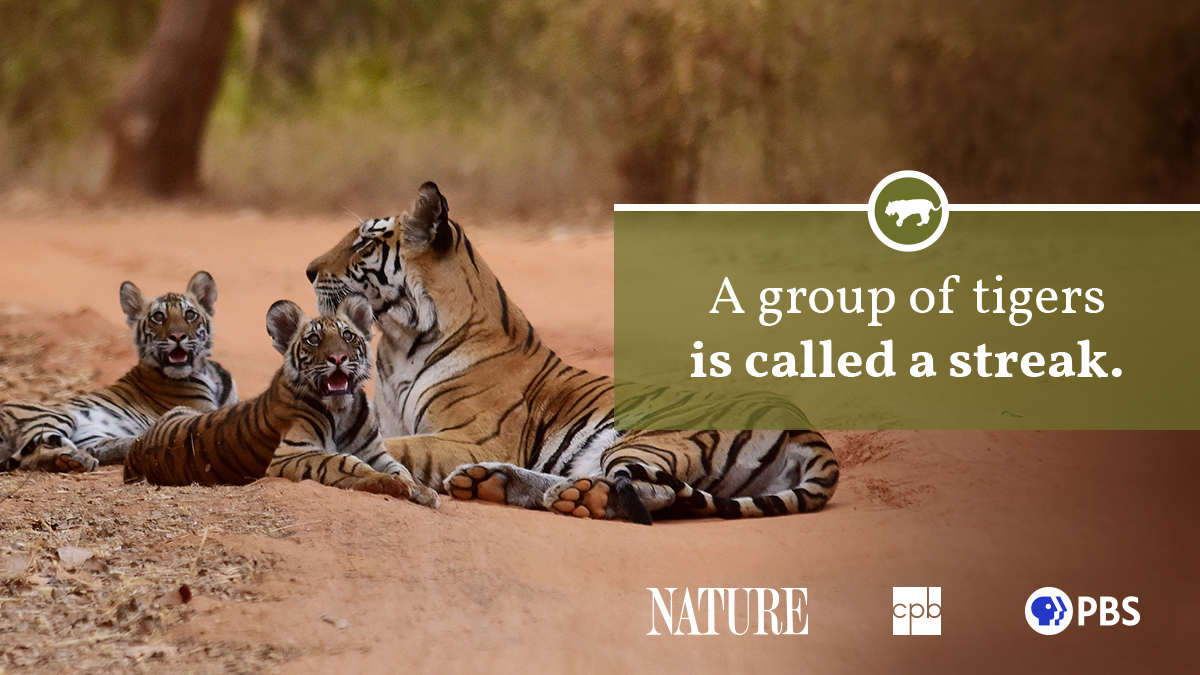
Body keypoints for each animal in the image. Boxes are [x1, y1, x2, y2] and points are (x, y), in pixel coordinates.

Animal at [0, 271, 237, 473]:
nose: (178, 336)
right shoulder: (201, 410)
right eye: (158, 317)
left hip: (88, 435)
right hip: (53, 415)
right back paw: (76, 460)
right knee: (31, 456)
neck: (206, 370)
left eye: (190, 315)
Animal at [122, 294, 440, 508]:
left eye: (348, 335)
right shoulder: (290, 453)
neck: (342, 411)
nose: (338, 358)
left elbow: (400, 469)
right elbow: (343, 462)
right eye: (313, 340)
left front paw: (420, 490)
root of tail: (137, 447)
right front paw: (389, 484)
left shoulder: (376, 452)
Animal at [304, 182, 839, 524]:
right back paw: (490, 484)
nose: (308, 270)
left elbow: (399, 449)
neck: (398, 340)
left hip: (648, 439)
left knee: (657, 492)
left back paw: (572, 497)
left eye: (364, 243)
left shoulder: (471, 436)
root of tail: (810, 430)